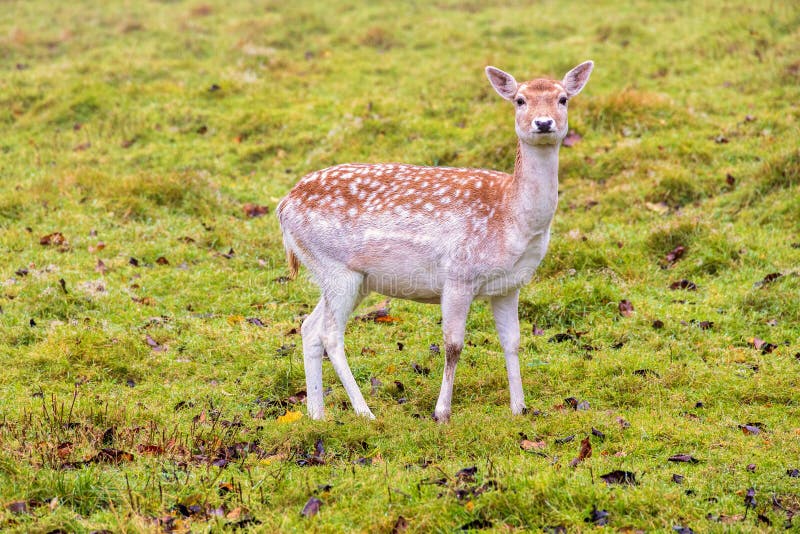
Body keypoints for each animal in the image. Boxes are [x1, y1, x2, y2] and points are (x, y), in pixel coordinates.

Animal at [277, 61, 594, 423]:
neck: (512, 218)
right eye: (520, 100)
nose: (543, 123)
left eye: (563, 98)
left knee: (309, 327)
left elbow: (512, 342)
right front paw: (441, 412)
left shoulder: (510, 284)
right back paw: (365, 412)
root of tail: (283, 206)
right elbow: (453, 345)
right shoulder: (458, 274)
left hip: (353, 279)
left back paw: (317, 415)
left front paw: (520, 408)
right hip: (335, 268)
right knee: (330, 334)